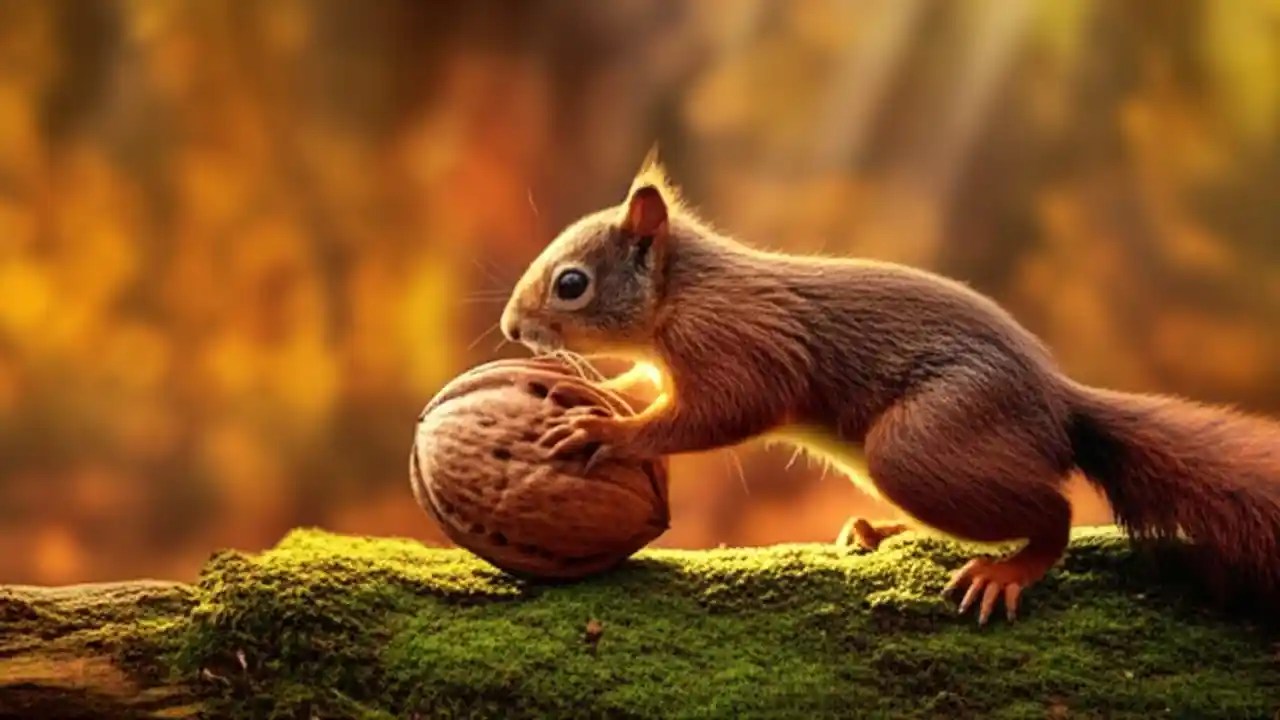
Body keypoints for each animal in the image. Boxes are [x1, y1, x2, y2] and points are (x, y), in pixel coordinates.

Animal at [499, 157, 1280, 624]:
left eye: (572, 283)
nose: (510, 328)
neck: (681, 293)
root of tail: (1059, 403)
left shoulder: (743, 344)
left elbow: (722, 413)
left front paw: (608, 432)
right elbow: (639, 384)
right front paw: (594, 394)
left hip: (921, 444)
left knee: (1053, 511)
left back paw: (1010, 571)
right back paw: (881, 532)